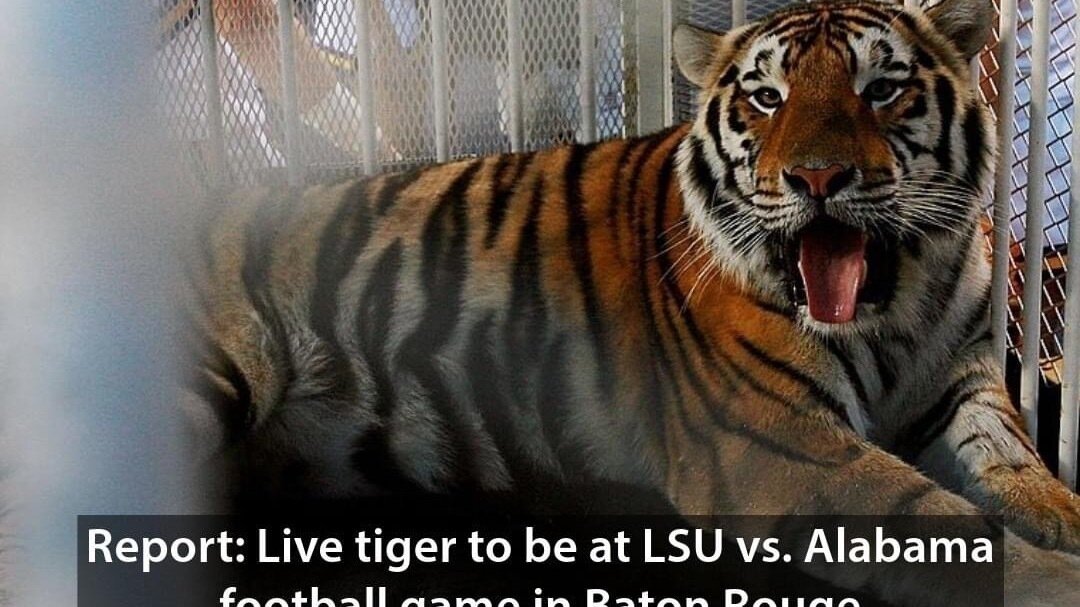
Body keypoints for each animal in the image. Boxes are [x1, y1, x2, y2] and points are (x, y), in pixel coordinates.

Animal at [180, 0, 1080, 603]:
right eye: (767, 98)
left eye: (882, 88)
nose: (818, 178)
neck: (898, 306)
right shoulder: (782, 441)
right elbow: (939, 517)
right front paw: (1052, 578)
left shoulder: (960, 391)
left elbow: (1025, 475)